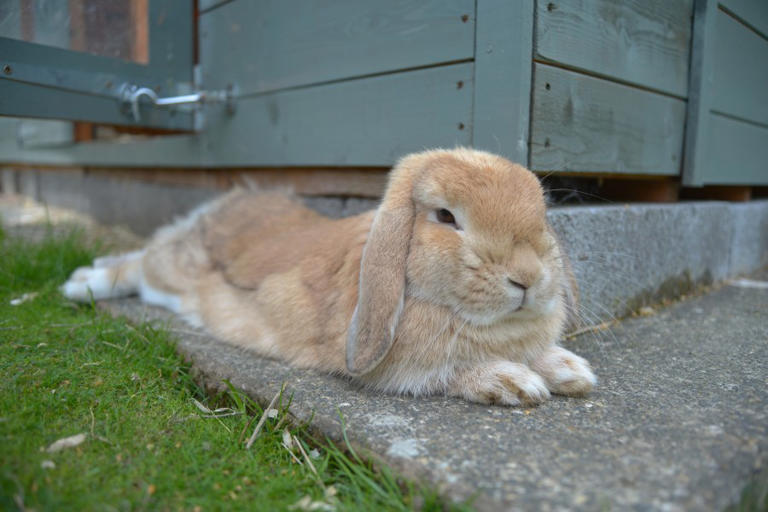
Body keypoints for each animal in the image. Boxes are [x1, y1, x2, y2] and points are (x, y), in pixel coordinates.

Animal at [62, 148, 596, 406]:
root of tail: (222, 204)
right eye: (446, 217)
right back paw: (81, 284)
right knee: (137, 266)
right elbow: (449, 371)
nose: (527, 278)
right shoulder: (396, 368)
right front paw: (515, 383)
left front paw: (570, 370)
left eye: (541, 211)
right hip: (173, 269)